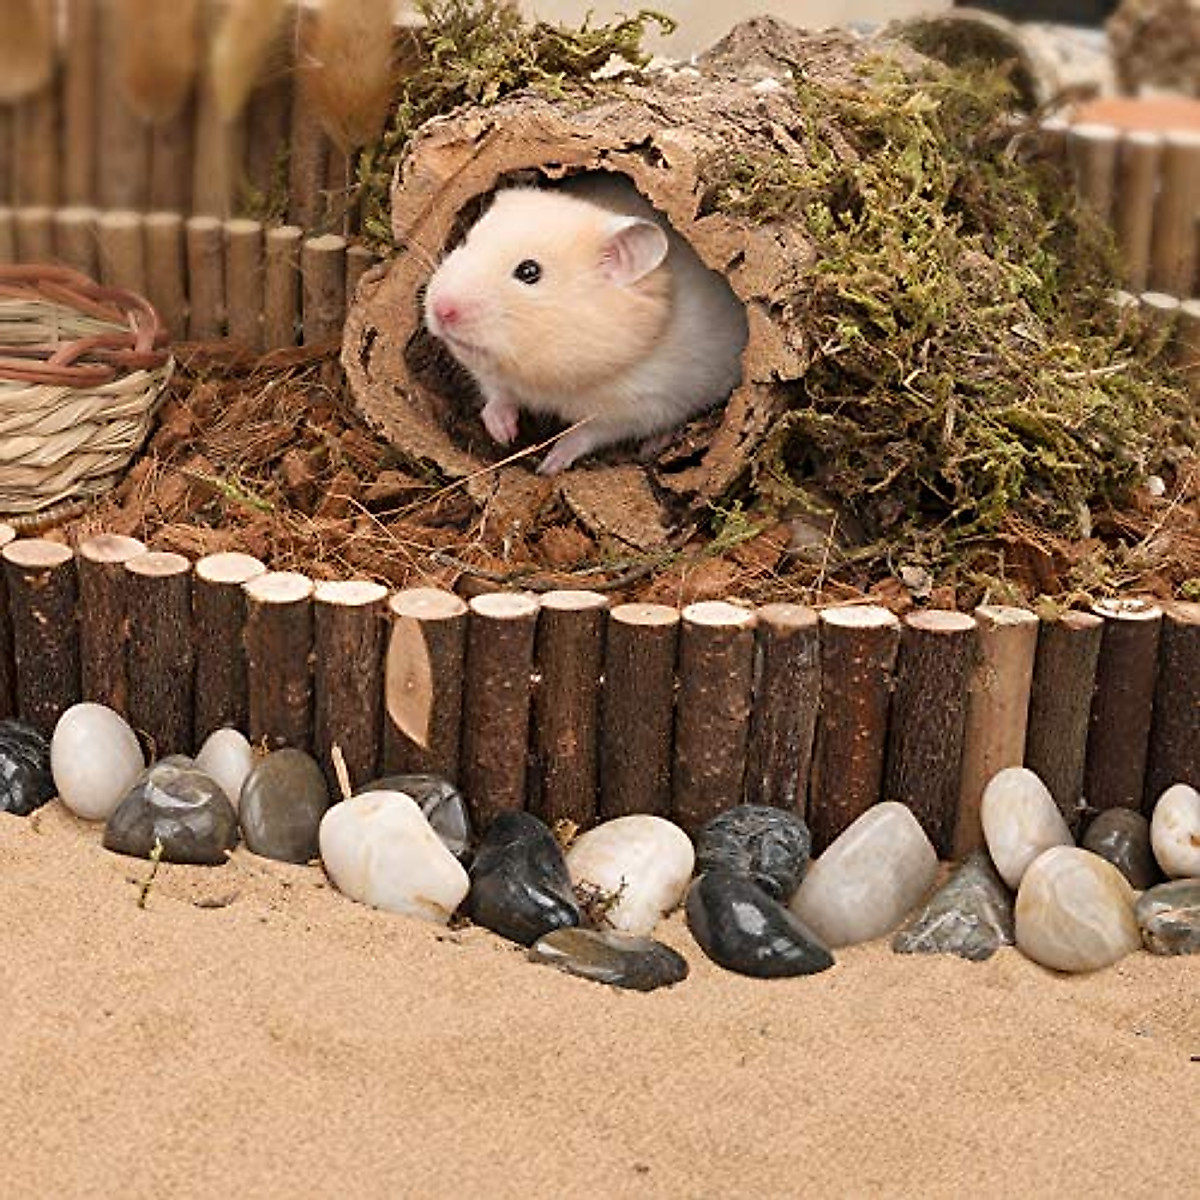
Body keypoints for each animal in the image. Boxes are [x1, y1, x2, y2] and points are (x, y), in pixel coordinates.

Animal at [422, 173, 749, 475]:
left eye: (529, 271)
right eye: (466, 241)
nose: (440, 309)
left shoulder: (638, 408)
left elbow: (587, 433)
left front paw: (549, 465)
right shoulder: (493, 374)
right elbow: (497, 394)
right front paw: (503, 433)